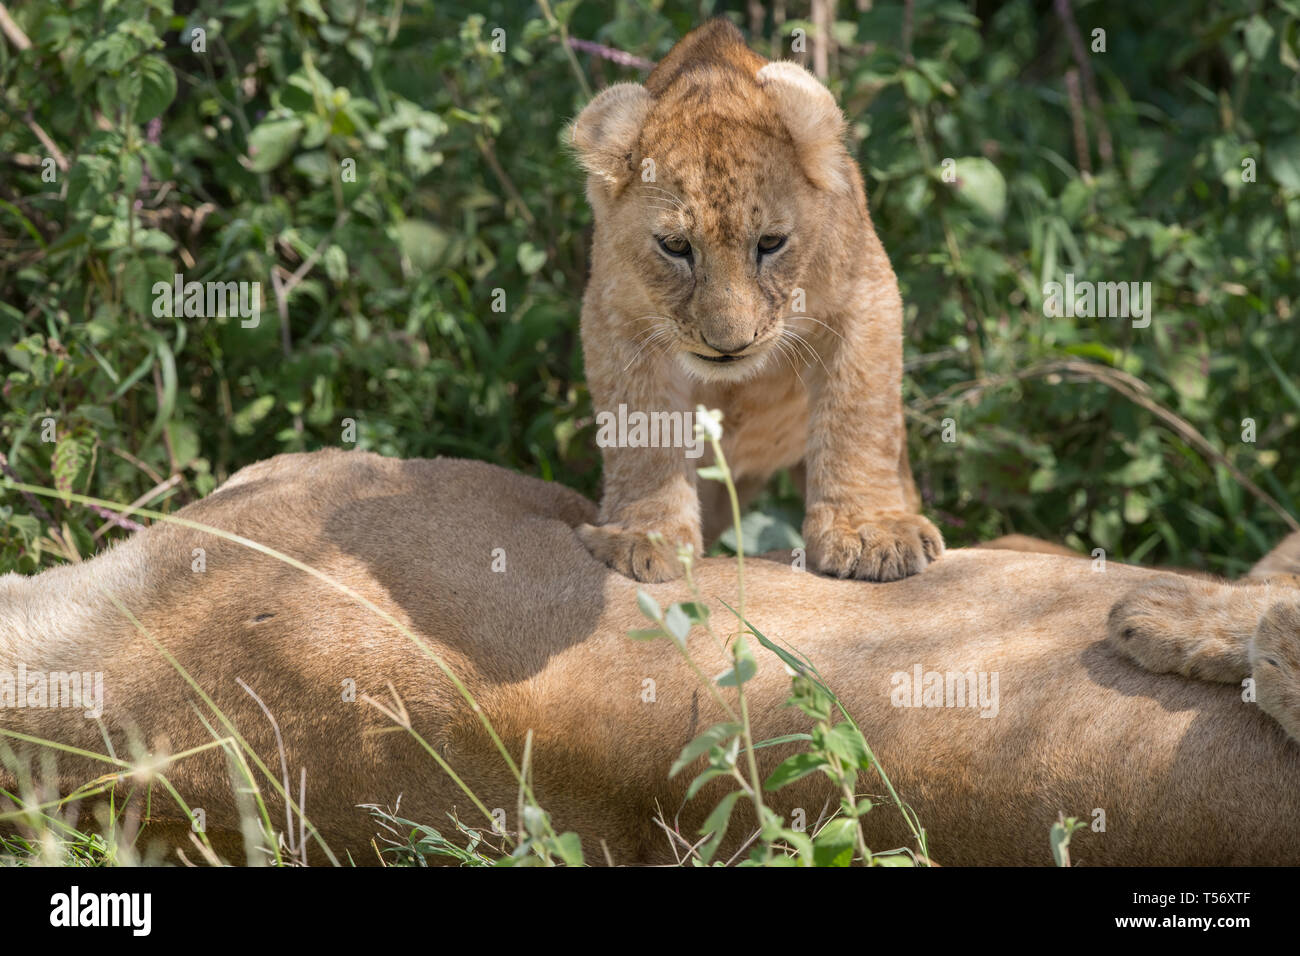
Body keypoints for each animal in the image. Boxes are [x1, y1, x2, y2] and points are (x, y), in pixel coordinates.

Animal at [569, 19, 943, 583]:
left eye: (770, 243)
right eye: (675, 247)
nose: (729, 344)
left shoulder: (865, 292)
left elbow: (857, 414)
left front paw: (870, 531)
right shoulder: (616, 316)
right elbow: (641, 430)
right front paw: (644, 535)